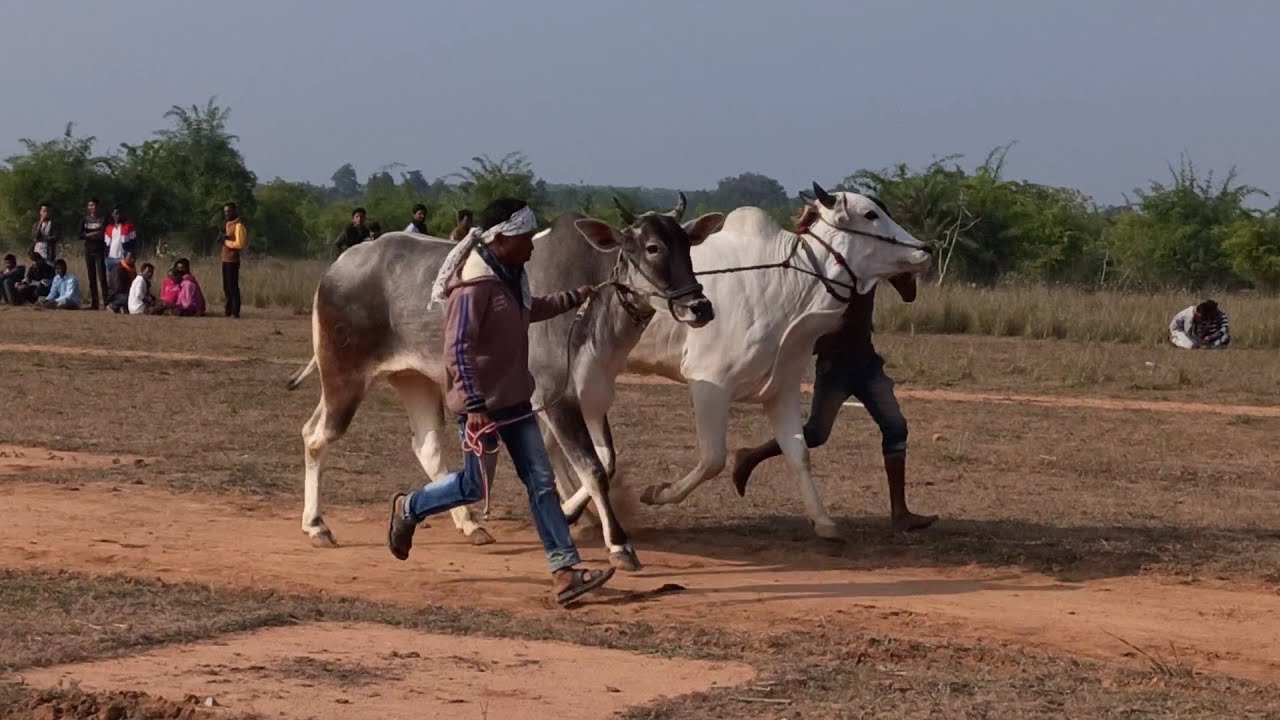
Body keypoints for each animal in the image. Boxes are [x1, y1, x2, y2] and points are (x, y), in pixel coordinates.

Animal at [285, 196, 724, 571]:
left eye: (688, 247)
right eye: (652, 248)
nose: (699, 307)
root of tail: (344, 262)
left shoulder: (594, 396)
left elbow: (605, 461)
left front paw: (570, 513)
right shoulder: (558, 398)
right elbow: (593, 468)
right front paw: (619, 544)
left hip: (415, 380)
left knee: (426, 447)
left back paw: (467, 523)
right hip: (343, 377)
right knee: (316, 436)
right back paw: (317, 525)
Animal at [554, 184, 933, 540]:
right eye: (870, 214)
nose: (925, 249)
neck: (789, 284)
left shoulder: (783, 389)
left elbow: (799, 453)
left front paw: (823, 521)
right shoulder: (709, 382)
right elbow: (712, 459)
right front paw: (657, 493)